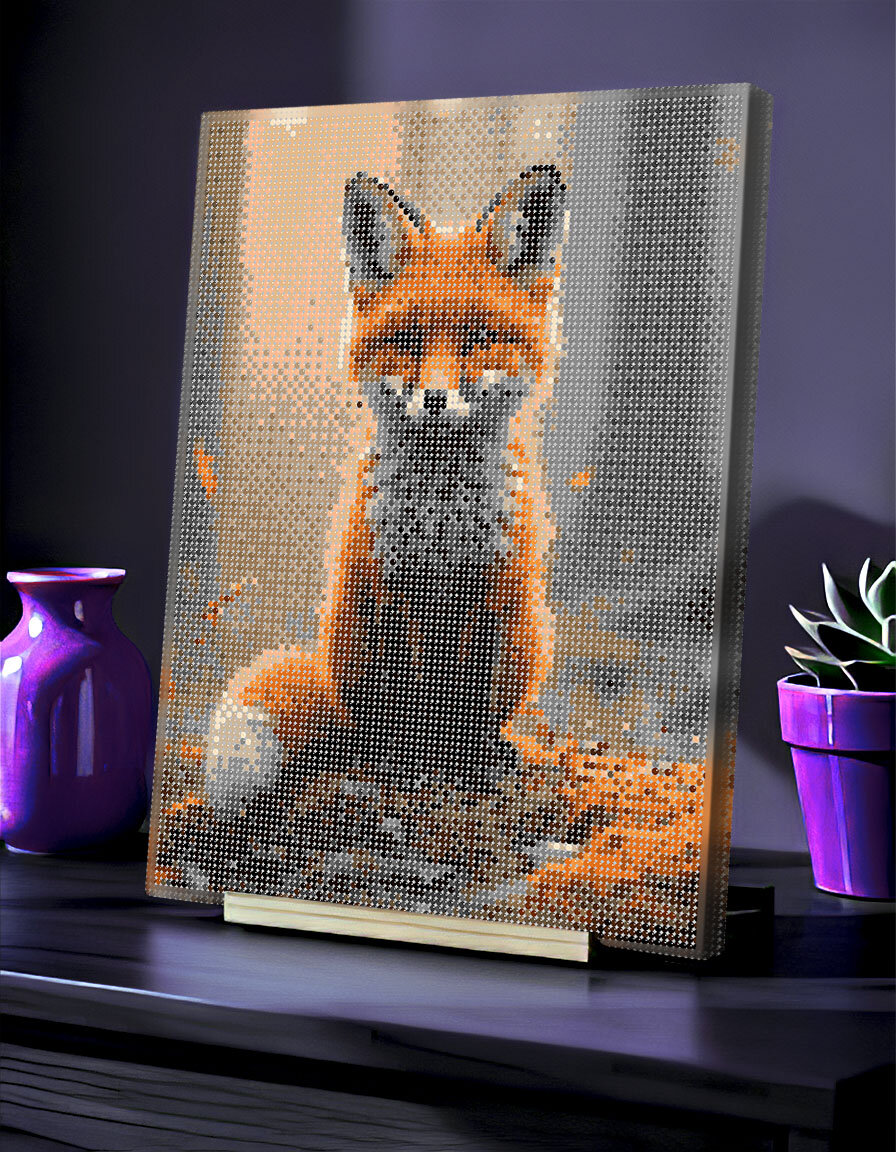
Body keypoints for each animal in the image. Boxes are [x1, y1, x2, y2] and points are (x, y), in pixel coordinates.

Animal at [204, 164, 568, 818]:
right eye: (407, 341)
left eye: (479, 339)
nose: (435, 399)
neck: (442, 512)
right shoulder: (389, 588)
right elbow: (405, 704)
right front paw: (408, 772)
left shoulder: (491, 592)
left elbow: (467, 703)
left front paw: (469, 769)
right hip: (348, 638)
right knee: (361, 726)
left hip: (530, 632)